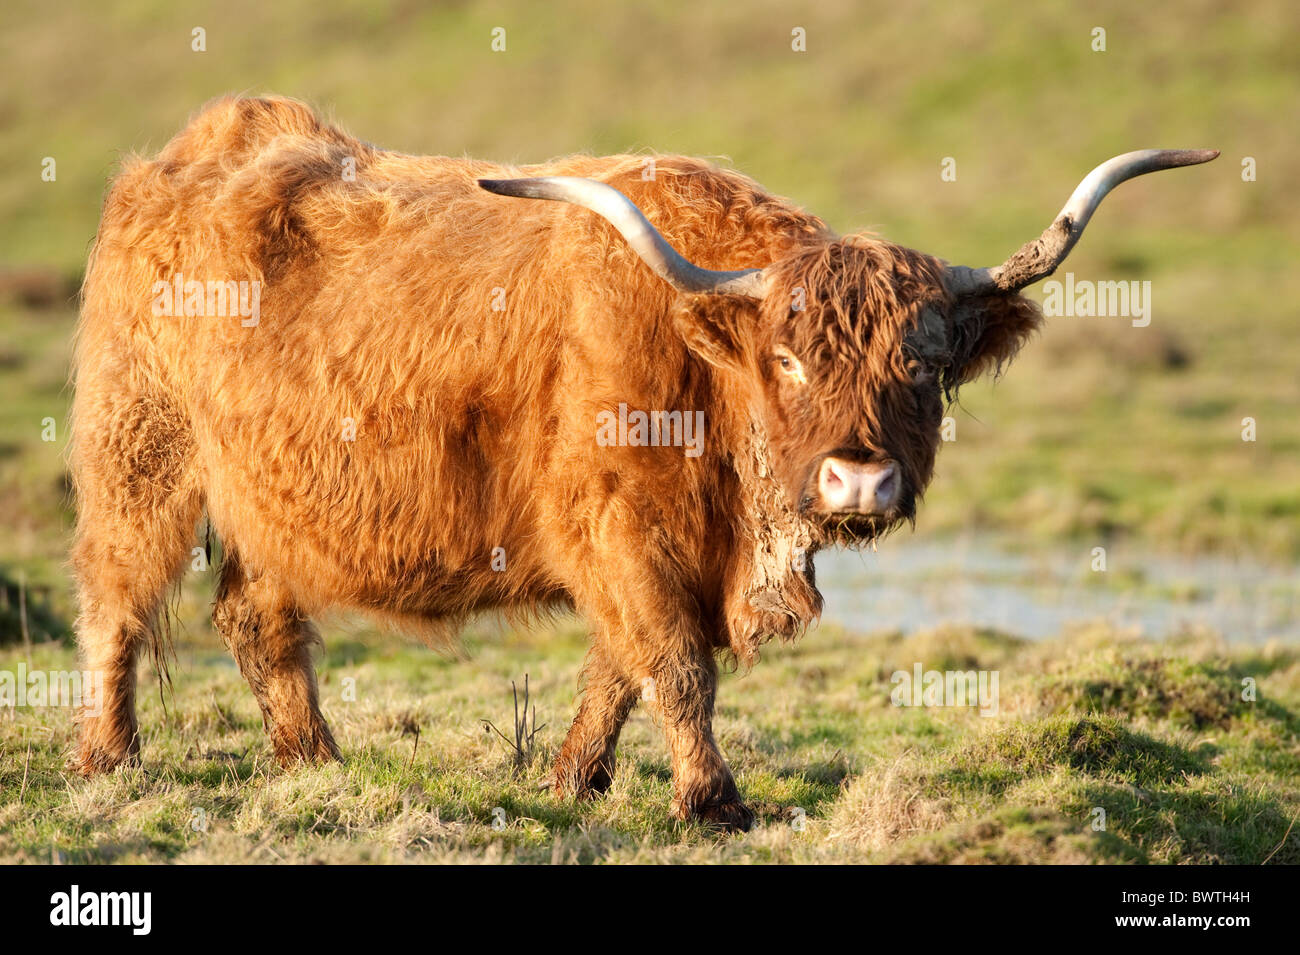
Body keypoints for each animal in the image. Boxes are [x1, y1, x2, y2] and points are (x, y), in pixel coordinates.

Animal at [70, 95, 1215, 829]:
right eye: (788, 359)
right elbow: (673, 660)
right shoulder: (621, 523)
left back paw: (315, 764)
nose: (858, 480)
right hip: (142, 452)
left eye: (925, 363)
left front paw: (573, 777)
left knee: (256, 619)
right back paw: (107, 760)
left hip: (265, 497)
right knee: (116, 602)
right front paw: (712, 800)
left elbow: (622, 666)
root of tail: (181, 156)